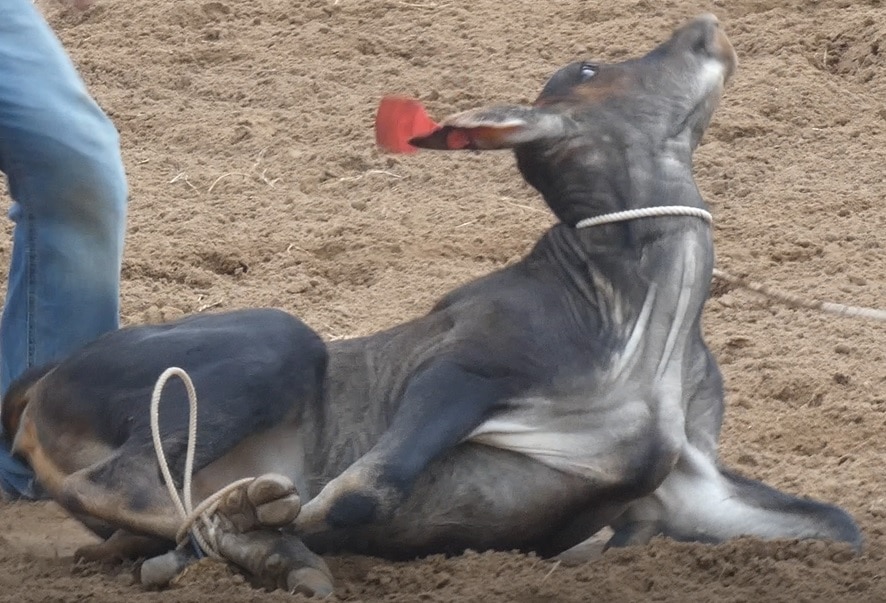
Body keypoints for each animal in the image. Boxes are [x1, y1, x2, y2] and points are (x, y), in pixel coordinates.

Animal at [1, 13, 860, 597]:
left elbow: (839, 526)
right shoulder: (462, 368)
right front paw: (290, 522)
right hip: (277, 338)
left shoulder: (690, 479)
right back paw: (255, 525)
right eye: (588, 67)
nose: (701, 26)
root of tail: (41, 380)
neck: (642, 304)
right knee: (119, 480)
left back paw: (253, 539)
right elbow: (360, 492)